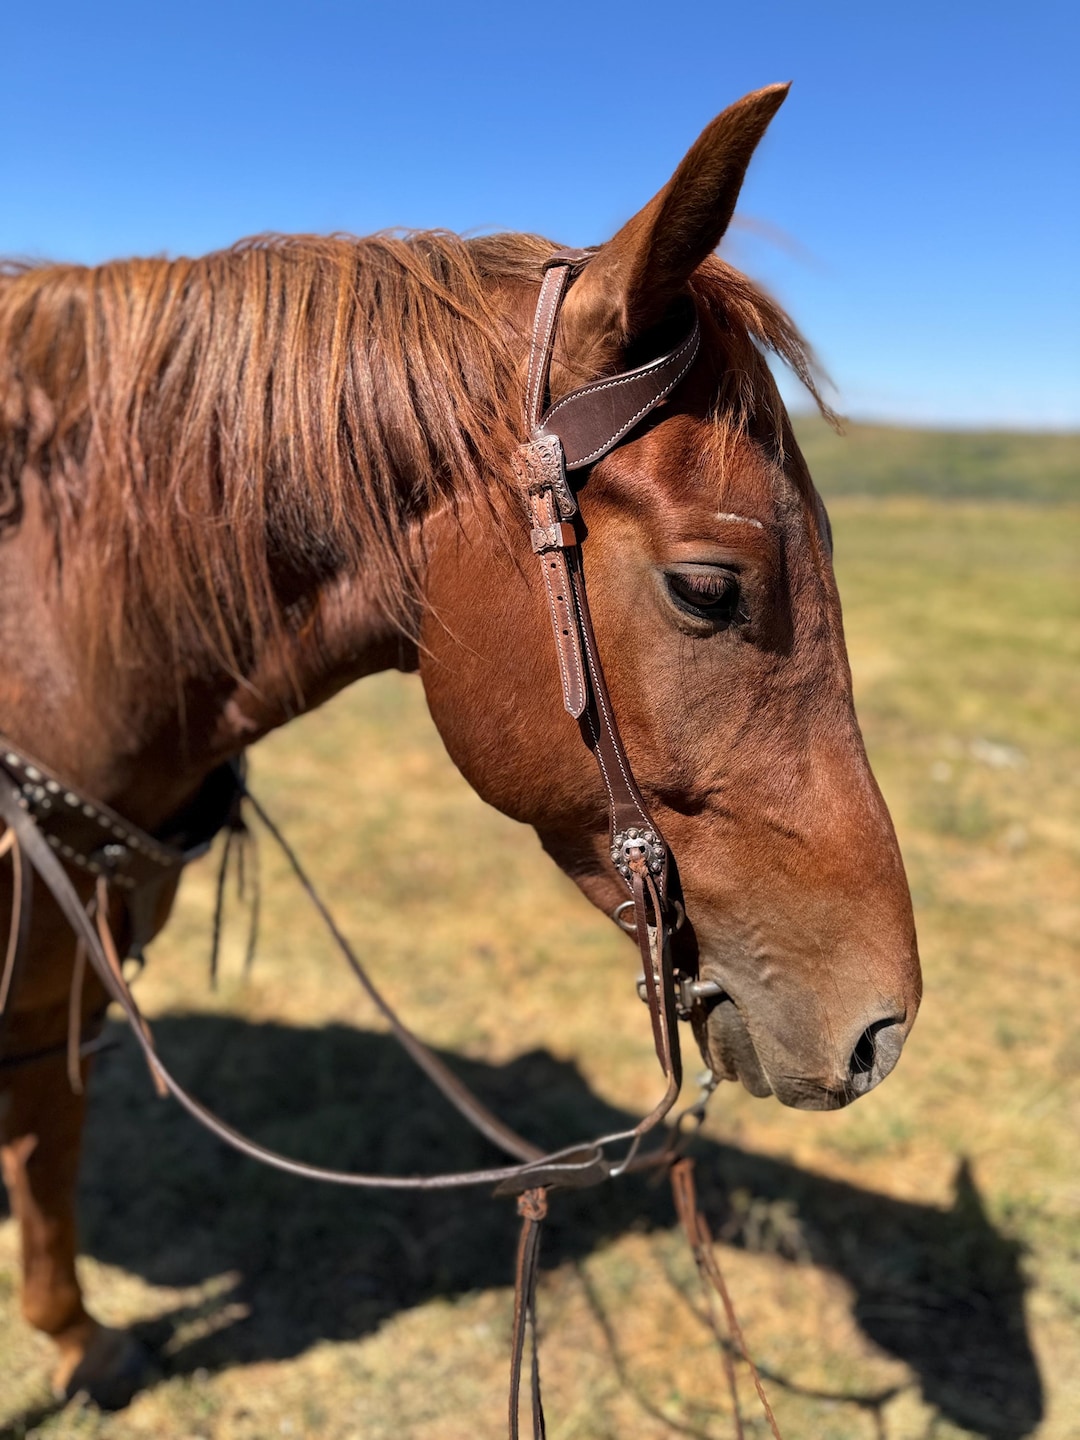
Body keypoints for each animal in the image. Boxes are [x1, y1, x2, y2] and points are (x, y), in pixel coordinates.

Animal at [0, 84, 921, 1407]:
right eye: (709, 588)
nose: (882, 1028)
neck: (41, 641)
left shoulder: (63, 972)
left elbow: (50, 1135)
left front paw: (75, 1334)